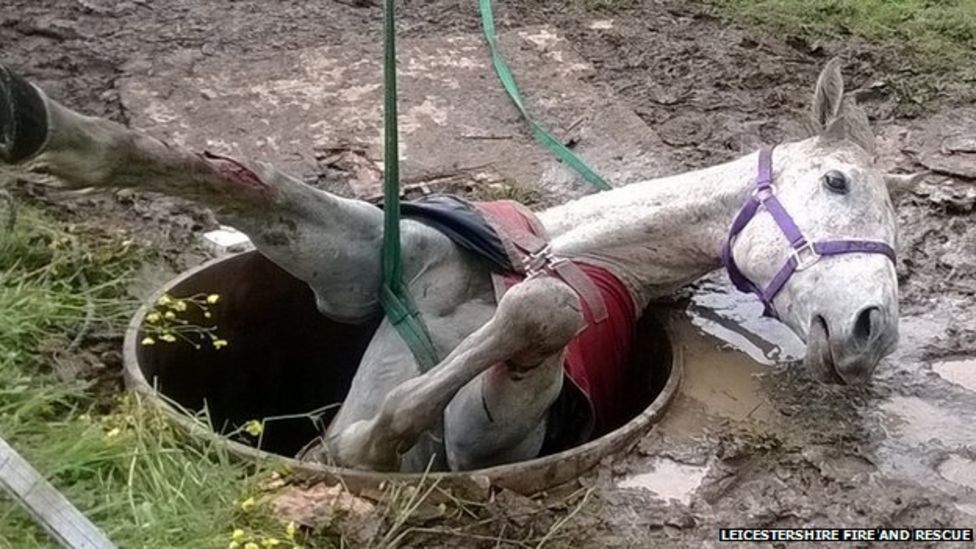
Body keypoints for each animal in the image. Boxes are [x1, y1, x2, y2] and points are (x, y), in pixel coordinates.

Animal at [0, 59, 922, 473]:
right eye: (837, 182)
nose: (873, 333)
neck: (542, 249)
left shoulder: (493, 443)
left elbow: (542, 312)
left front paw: (371, 440)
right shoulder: (349, 268)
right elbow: (243, 180)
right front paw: (53, 130)